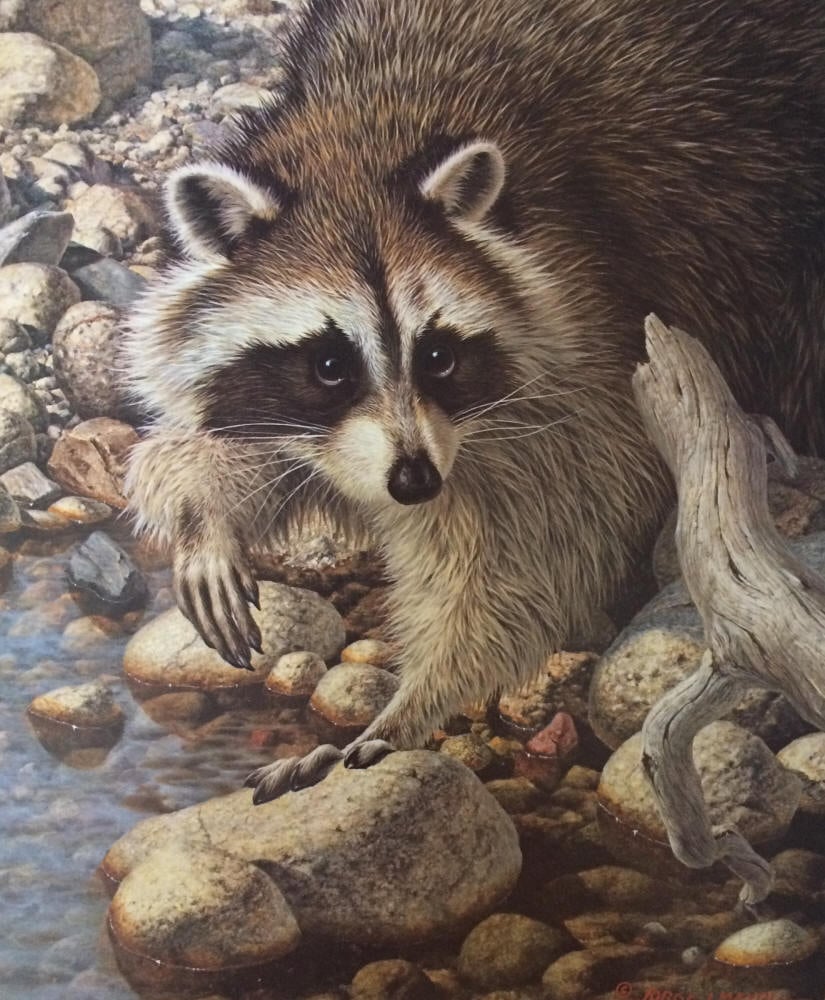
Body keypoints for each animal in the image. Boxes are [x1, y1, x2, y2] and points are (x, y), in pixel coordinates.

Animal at [123, 0, 825, 802]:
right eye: (329, 365)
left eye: (439, 356)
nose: (414, 481)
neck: (367, 126)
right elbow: (239, 444)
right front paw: (204, 515)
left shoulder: (588, 337)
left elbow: (537, 550)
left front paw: (408, 707)